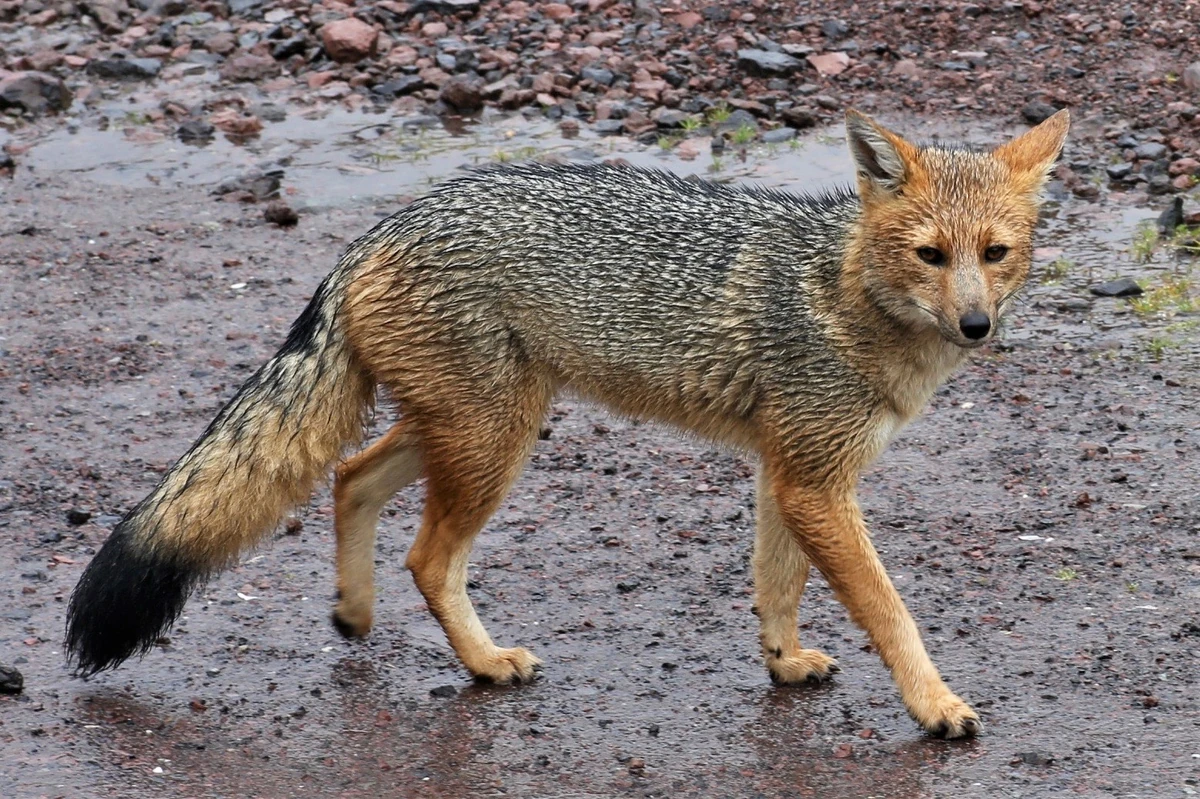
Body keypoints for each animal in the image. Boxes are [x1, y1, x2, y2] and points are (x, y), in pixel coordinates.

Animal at [66, 109, 1069, 738]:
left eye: (995, 254)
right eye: (930, 255)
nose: (977, 326)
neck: (840, 292)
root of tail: (379, 230)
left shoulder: (791, 473)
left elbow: (775, 585)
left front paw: (784, 664)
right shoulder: (816, 481)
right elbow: (891, 611)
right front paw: (935, 706)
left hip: (466, 429)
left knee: (350, 479)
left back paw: (355, 612)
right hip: (494, 443)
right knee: (426, 555)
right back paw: (483, 662)